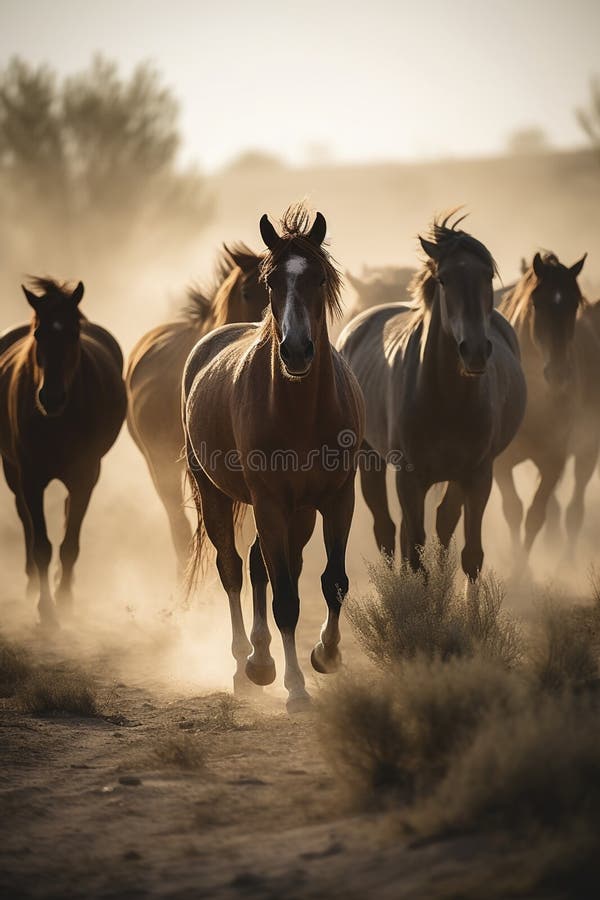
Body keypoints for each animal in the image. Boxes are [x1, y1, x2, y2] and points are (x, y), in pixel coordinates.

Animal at [0, 278, 126, 626]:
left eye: (72, 333)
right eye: (39, 334)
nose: (52, 397)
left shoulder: (85, 474)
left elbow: (70, 543)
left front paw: (65, 598)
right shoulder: (30, 478)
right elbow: (41, 544)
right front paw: (46, 609)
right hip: (12, 471)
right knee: (25, 519)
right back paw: (32, 582)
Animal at [183, 204, 364, 711]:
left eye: (318, 277)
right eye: (270, 282)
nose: (297, 351)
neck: (301, 413)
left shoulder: (338, 499)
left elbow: (333, 581)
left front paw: (326, 654)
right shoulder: (268, 503)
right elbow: (285, 598)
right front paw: (297, 687)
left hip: (297, 513)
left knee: (262, 563)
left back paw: (262, 660)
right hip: (217, 495)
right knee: (233, 567)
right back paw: (246, 667)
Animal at [337, 215, 526, 583]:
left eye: (487, 275)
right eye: (443, 278)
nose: (475, 351)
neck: (446, 397)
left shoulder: (478, 474)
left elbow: (470, 553)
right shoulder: (409, 477)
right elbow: (414, 552)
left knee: (441, 521)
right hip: (370, 457)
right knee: (387, 529)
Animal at [495, 251, 589, 563]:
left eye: (575, 303)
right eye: (537, 303)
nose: (559, 373)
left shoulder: (554, 459)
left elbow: (536, 515)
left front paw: (523, 569)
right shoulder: (500, 464)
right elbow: (513, 510)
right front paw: (517, 567)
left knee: (574, 509)